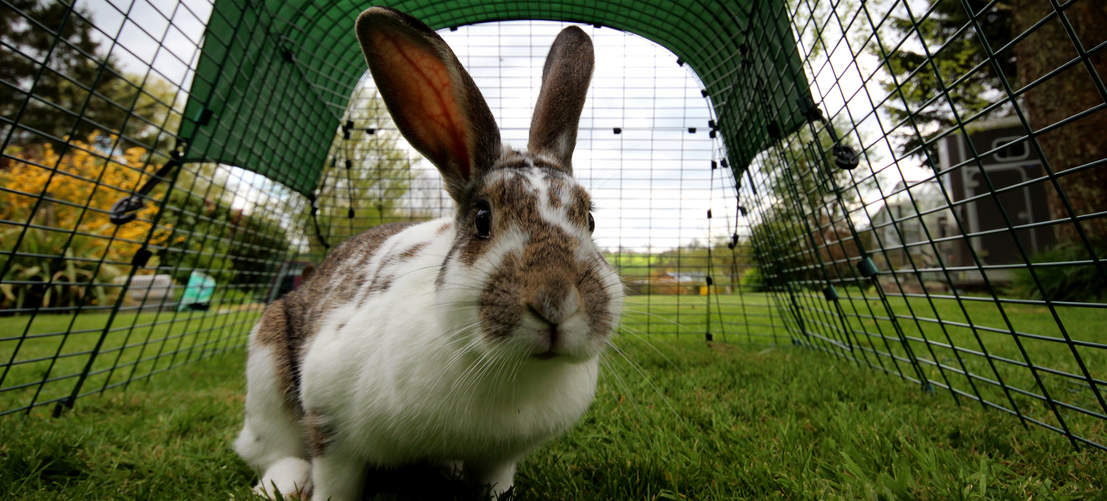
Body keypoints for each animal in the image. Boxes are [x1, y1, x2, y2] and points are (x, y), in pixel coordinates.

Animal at [233, 6, 624, 500]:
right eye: (482, 219)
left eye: (588, 219)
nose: (556, 303)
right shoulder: (329, 419)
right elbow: (336, 480)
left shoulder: (501, 457)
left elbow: (495, 481)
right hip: (266, 370)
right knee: (266, 449)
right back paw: (284, 482)